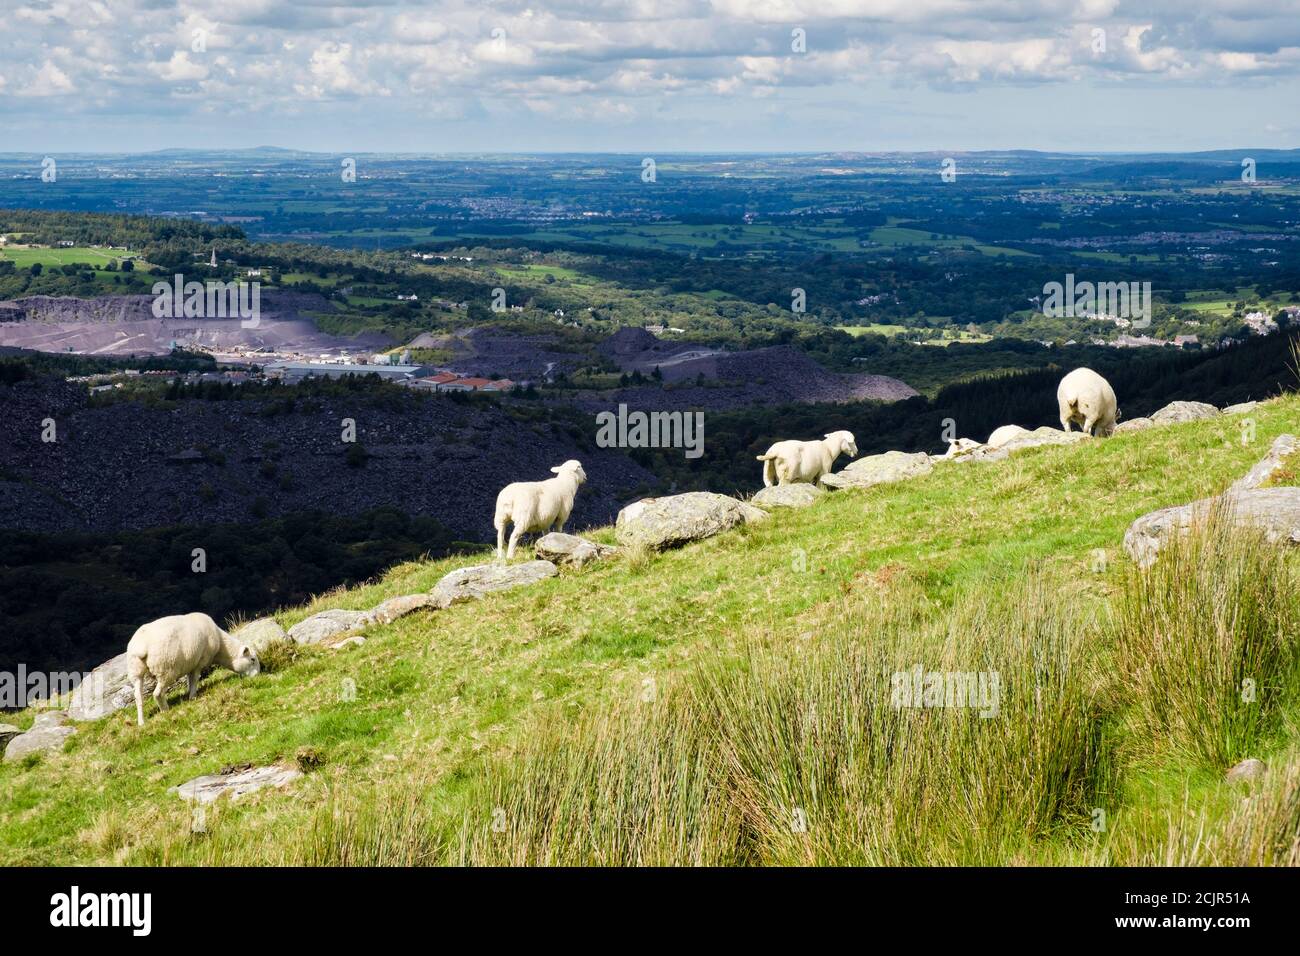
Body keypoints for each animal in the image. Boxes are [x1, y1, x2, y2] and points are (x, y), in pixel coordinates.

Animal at [126, 612, 261, 726]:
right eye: (253, 659)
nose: (257, 676)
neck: (222, 648)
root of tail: (141, 646)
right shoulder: (199, 661)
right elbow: (195, 679)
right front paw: (192, 696)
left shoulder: (190, 663)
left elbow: (189, 680)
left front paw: (189, 694)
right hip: (166, 669)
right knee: (157, 693)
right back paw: (165, 710)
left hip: (136, 670)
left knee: (138, 696)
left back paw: (141, 722)